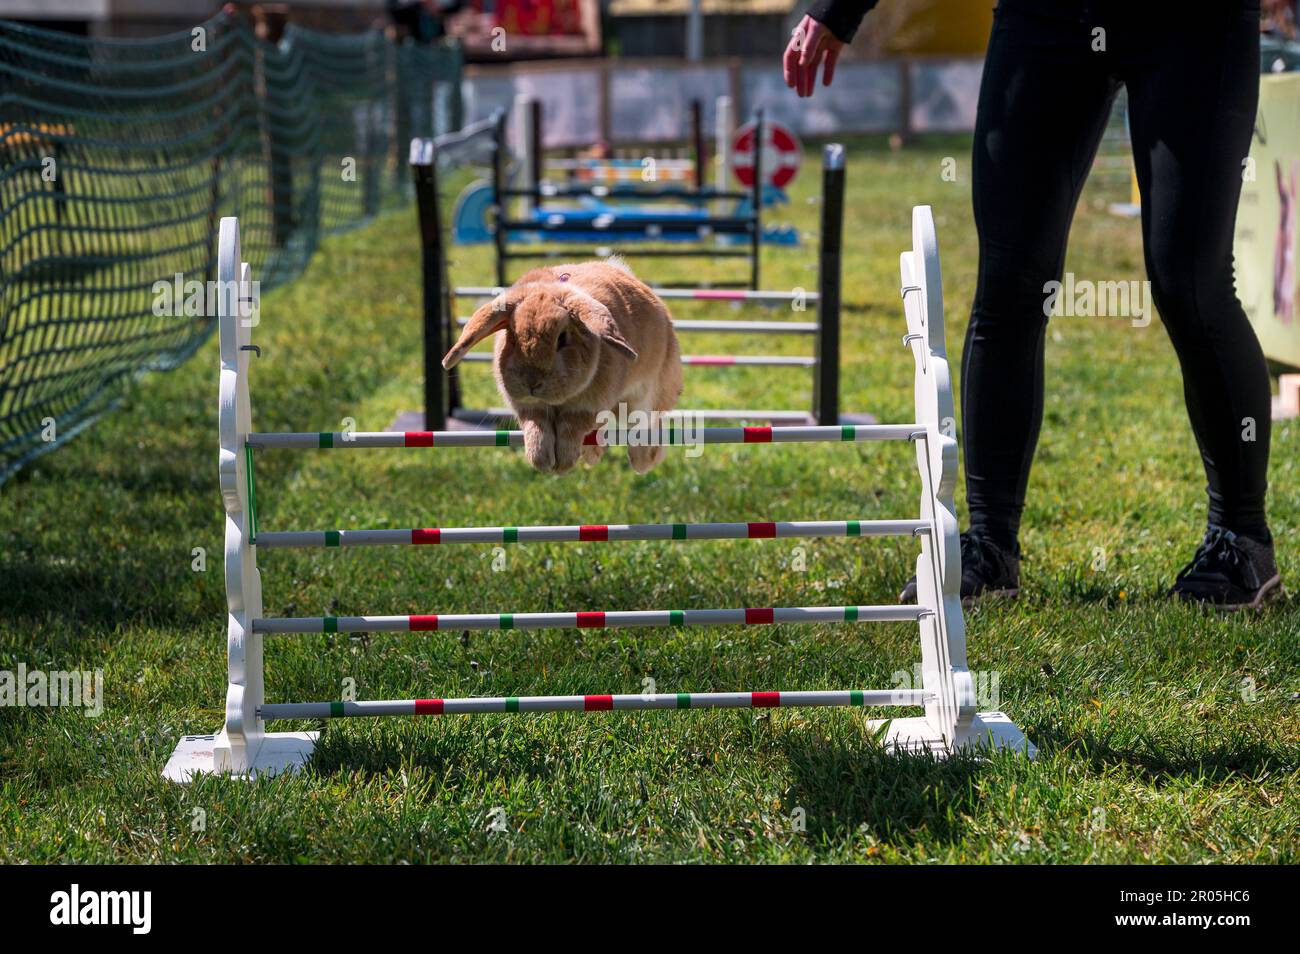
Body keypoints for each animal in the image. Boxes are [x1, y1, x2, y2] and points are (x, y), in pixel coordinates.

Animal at [441, 260, 683, 474]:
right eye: (512, 337)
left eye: (562, 339)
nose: (531, 382)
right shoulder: (529, 407)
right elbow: (536, 426)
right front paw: (542, 460)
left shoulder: (588, 405)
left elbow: (573, 425)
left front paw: (563, 463)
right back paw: (594, 453)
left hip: (647, 395)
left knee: (648, 423)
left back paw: (643, 460)